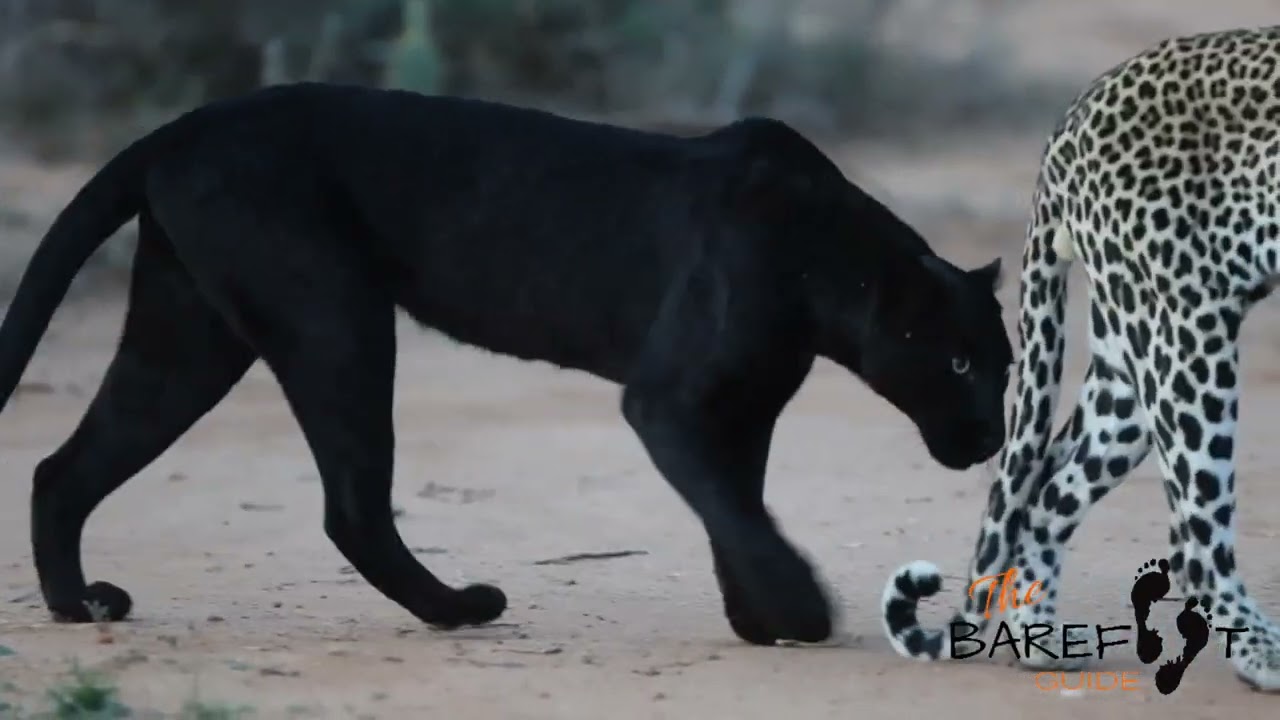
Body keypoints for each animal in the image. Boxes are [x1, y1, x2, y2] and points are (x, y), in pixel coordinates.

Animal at [0, 82, 1012, 646]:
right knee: (351, 505)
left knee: (64, 467)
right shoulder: (670, 402)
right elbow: (734, 508)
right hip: (334, 321)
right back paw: (462, 608)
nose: (995, 435)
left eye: (1003, 368)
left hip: (190, 334)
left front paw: (757, 620)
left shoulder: (745, 406)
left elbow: (739, 507)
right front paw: (800, 613)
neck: (822, 265)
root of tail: (173, 131)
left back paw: (77, 605)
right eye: (962, 364)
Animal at [880, 25, 1280, 693]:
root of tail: (1075, 114)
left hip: (1130, 360)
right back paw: (1262, 655)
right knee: (1197, 530)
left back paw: (1040, 639)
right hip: (1185, 336)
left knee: (1047, 488)